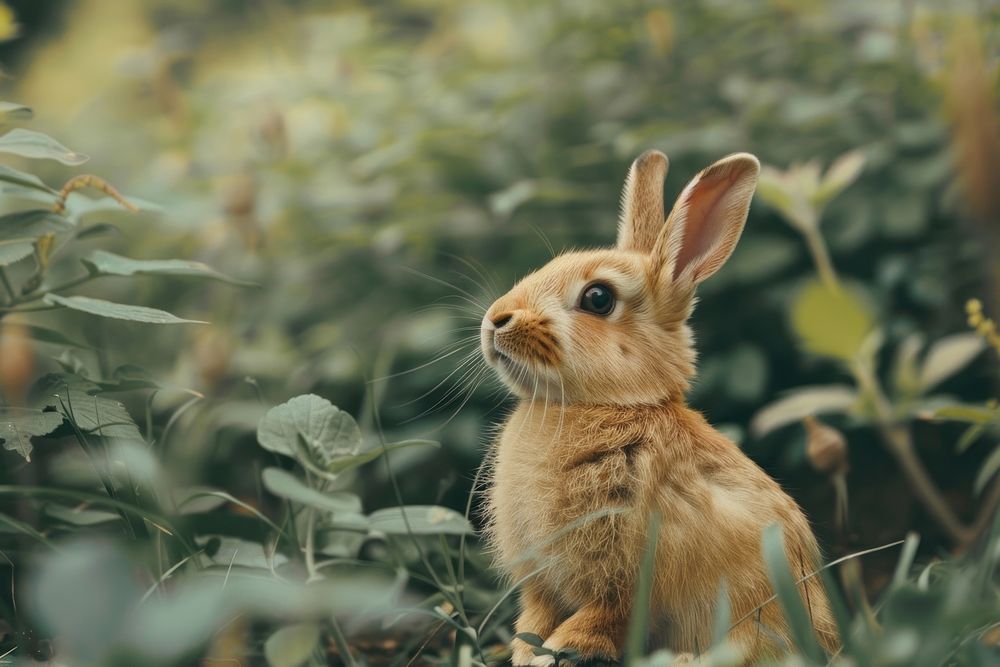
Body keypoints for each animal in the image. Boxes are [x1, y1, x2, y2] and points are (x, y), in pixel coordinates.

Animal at [479, 150, 839, 665]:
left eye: (598, 298)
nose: (496, 320)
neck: (611, 406)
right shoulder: (542, 584)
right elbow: (534, 617)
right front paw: (527, 654)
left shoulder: (625, 577)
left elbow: (601, 618)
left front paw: (560, 650)